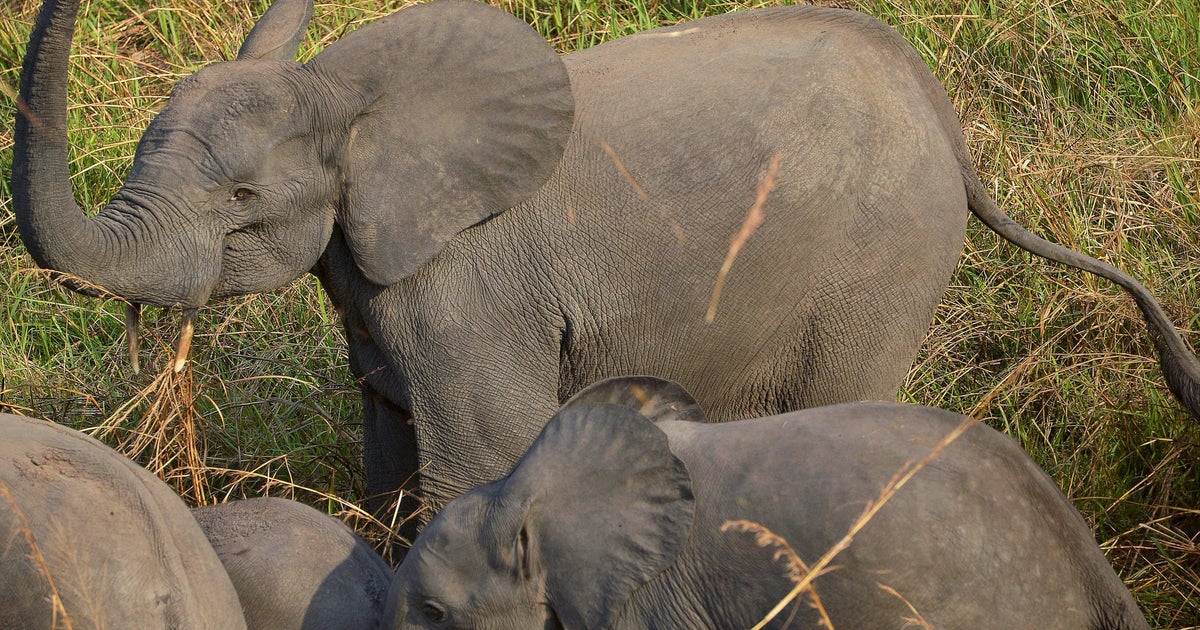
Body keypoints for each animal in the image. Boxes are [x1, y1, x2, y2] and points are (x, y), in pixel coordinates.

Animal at [14, 0, 1199, 521]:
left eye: (242, 200)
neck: (346, 94)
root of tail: (944, 120)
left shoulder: (467, 288)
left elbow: (475, 464)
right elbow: (390, 465)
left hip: (884, 258)